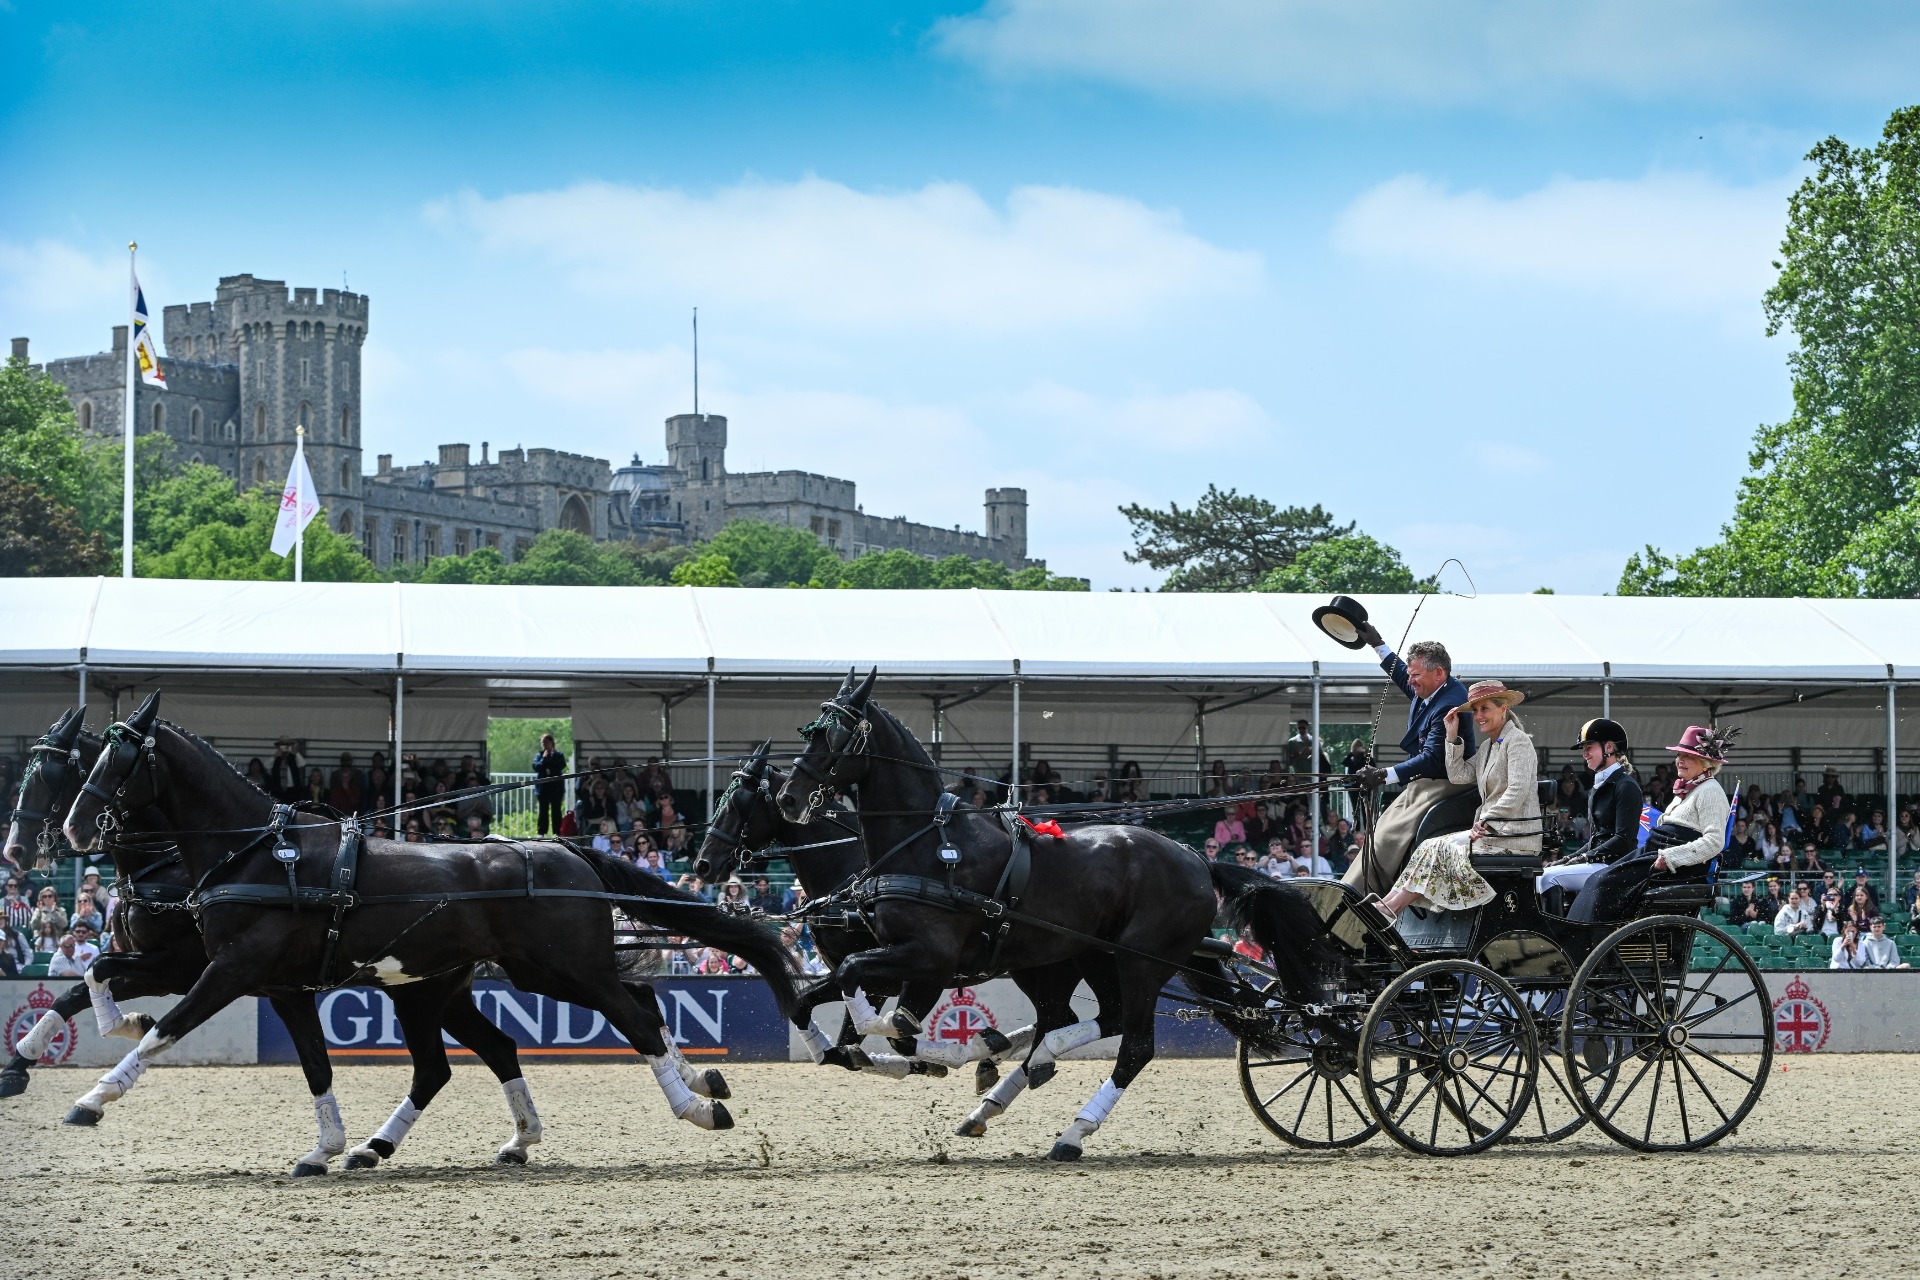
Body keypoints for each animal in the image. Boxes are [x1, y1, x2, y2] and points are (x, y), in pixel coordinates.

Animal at [2, 707, 561, 1174]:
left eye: (54, 776)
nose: (16, 851)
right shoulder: (206, 972)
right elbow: (85, 982)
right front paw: (22, 1062)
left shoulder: (196, 967)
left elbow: (135, 1010)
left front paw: (99, 1076)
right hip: (432, 992)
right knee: (486, 1052)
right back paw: (500, 1141)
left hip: (425, 993)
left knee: (446, 1065)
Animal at [57, 692, 801, 1168]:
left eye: (117, 763)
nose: (72, 828)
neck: (261, 855)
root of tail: (566, 849)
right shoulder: (281, 986)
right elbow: (314, 1064)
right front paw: (324, 1148)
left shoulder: (233, 970)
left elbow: (164, 1029)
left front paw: (92, 1099)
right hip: (477, 982)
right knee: (490, 1050)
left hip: (560, 970)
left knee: (636, 1019)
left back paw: (698, 1107)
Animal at [692, 738, 1052, 1087]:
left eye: (737, 802)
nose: (703, 863)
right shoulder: (863, 976)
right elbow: (830, 1033)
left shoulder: (902, 973)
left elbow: (886, 1037)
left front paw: (960, 1053)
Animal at [772, 670, 1327, 1160]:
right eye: (809, 729)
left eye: (835, 733)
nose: (788, 798)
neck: (930, 845)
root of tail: (1196, 859)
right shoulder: (904, 959)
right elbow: (820, 997)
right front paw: (842, 1045)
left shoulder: (927, 958)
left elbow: (877, 1002)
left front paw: (902, 1039)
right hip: (1094, 957)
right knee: (1096, 1020)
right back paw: (1016, 1082)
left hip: (1140, 962)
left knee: (1134, 1046)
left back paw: (1072, 1130)